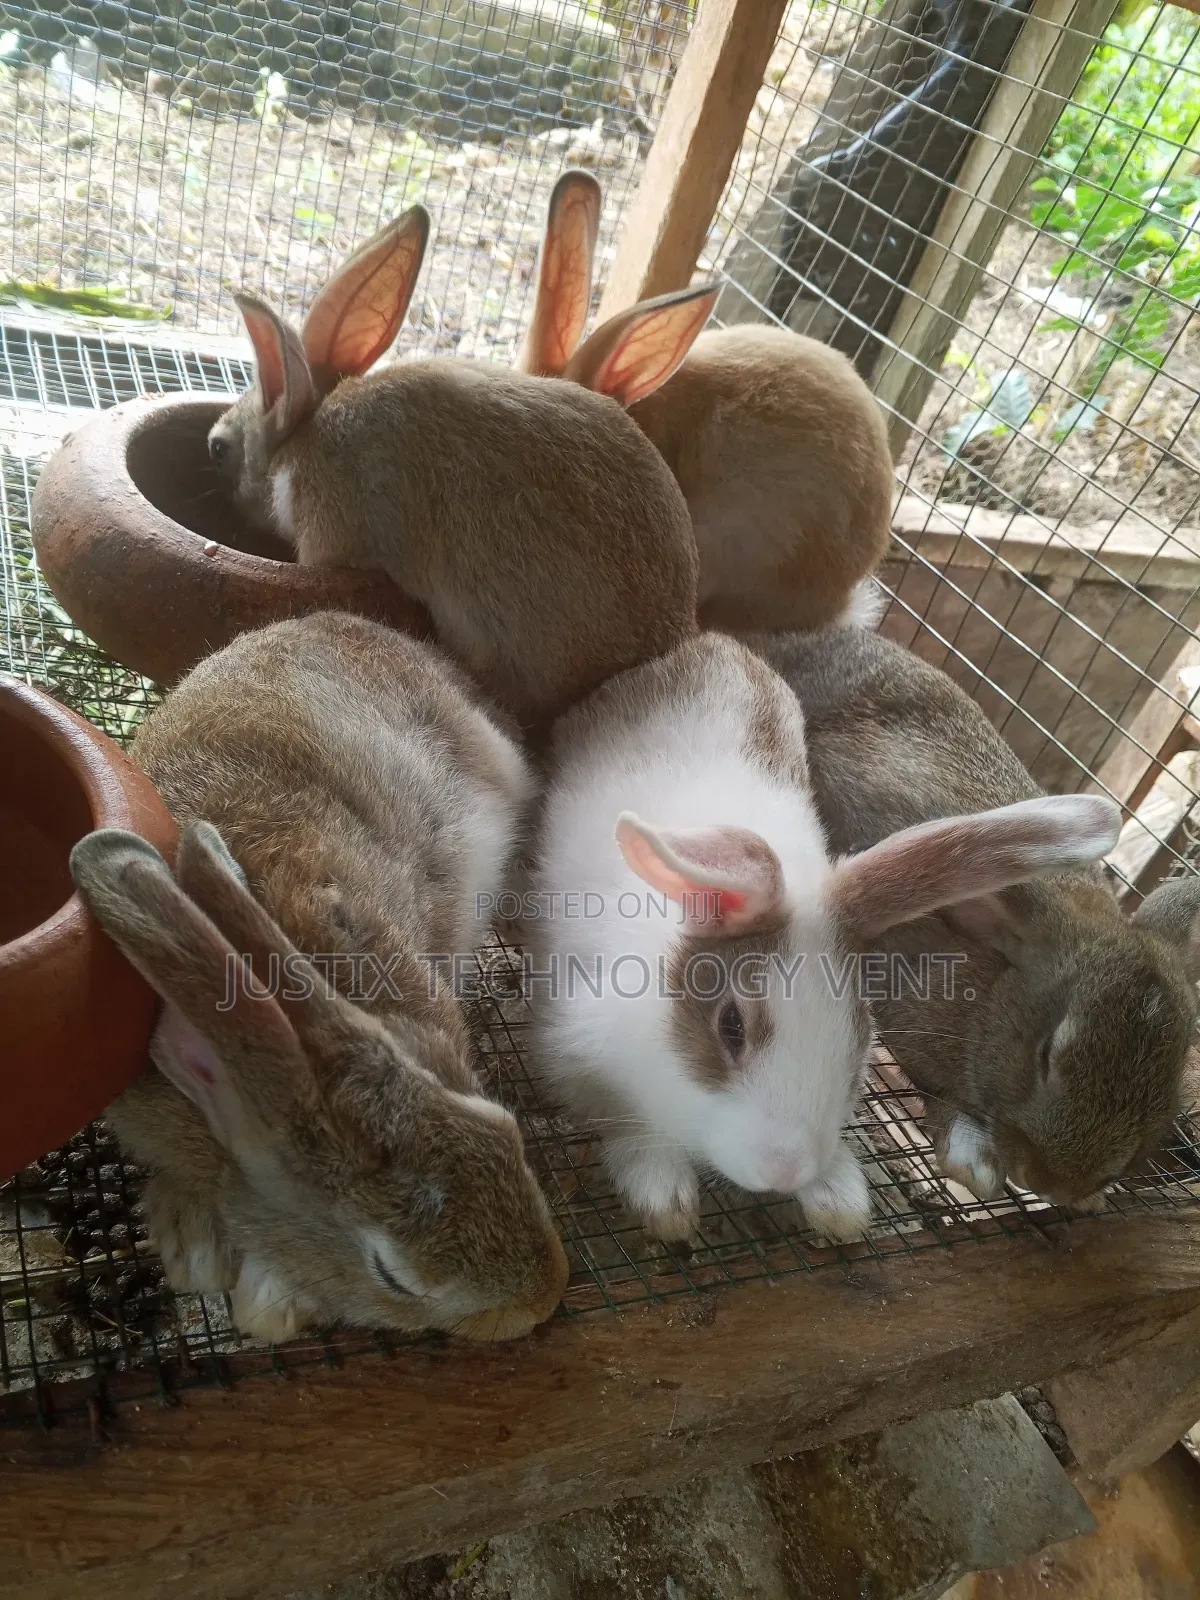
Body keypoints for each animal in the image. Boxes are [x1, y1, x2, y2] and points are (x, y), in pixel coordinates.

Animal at [521, 630, 1122, 1245]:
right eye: (731, 1028)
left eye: (859, 1036)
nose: (784, 1170)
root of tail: (709, 642)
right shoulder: (574, 1044)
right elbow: (627, 1129)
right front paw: (662, 1197)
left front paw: (837, 1197)